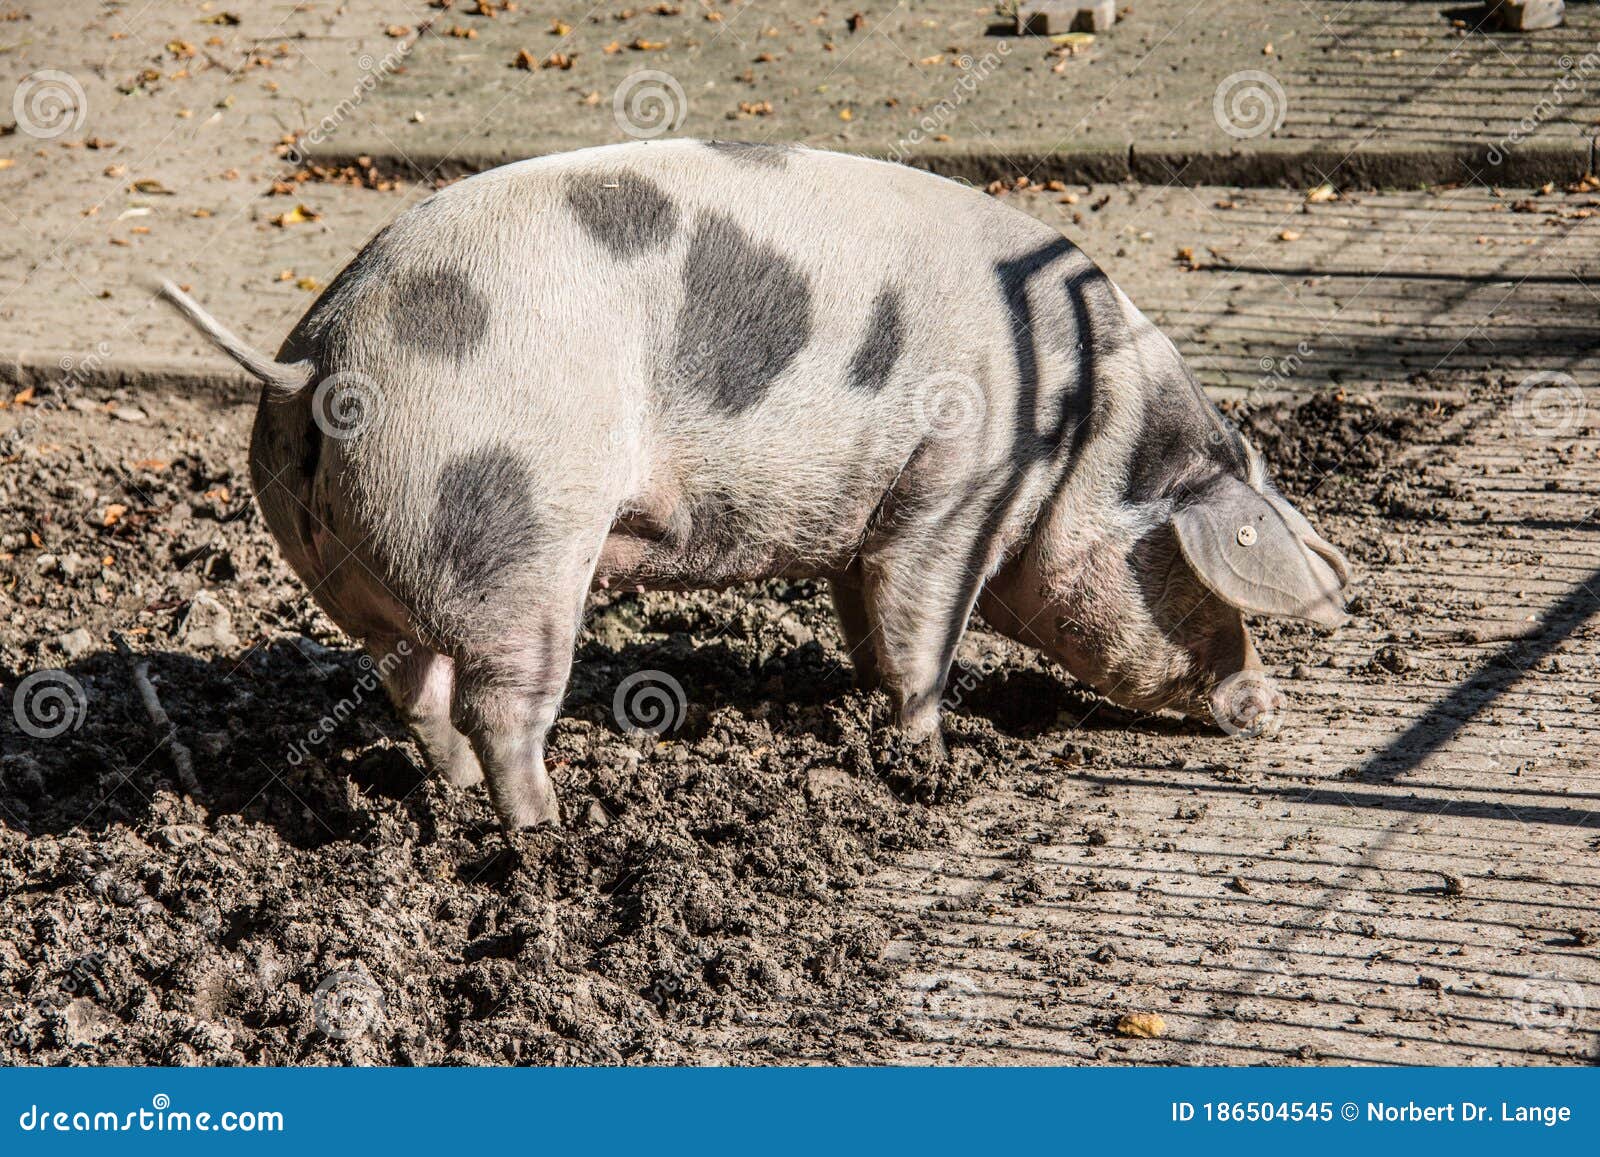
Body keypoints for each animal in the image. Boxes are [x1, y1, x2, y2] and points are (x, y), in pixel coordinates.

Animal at [161, 139, 1351, 829]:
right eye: (1199, 578)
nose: (1269, 702)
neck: (1082, 437)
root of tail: (314, 356)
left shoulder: (871, 514)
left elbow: (870, 611)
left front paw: (861, 705)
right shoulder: (958, 488)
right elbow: (926, 618)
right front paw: (931, 757)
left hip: (376, 571)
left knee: (412, 688)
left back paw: (454, 795)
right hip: (512, 535)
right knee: (501, 703)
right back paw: (554, 831)